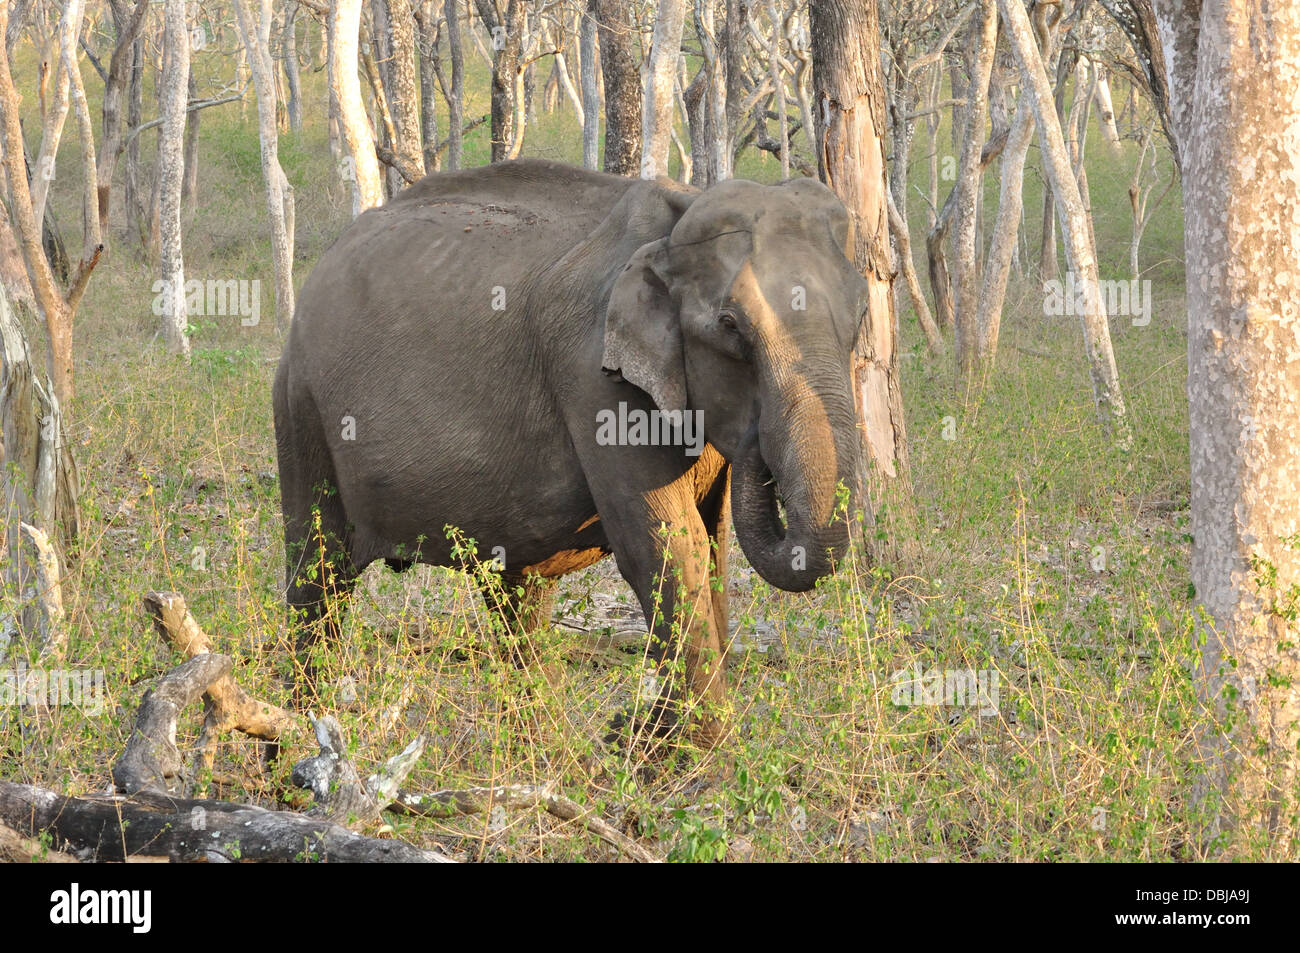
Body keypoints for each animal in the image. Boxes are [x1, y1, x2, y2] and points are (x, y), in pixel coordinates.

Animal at [273, 159, 868, 747]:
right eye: (729, 326)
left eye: (861, 315)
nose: (628, 723)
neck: (676, 221)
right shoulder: (592, 378)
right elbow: (667, 550)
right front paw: (698, 758)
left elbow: (714, 545)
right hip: (301, 408)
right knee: (318, 575)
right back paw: (301, 735)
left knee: (518, 598)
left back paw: (553, 750)